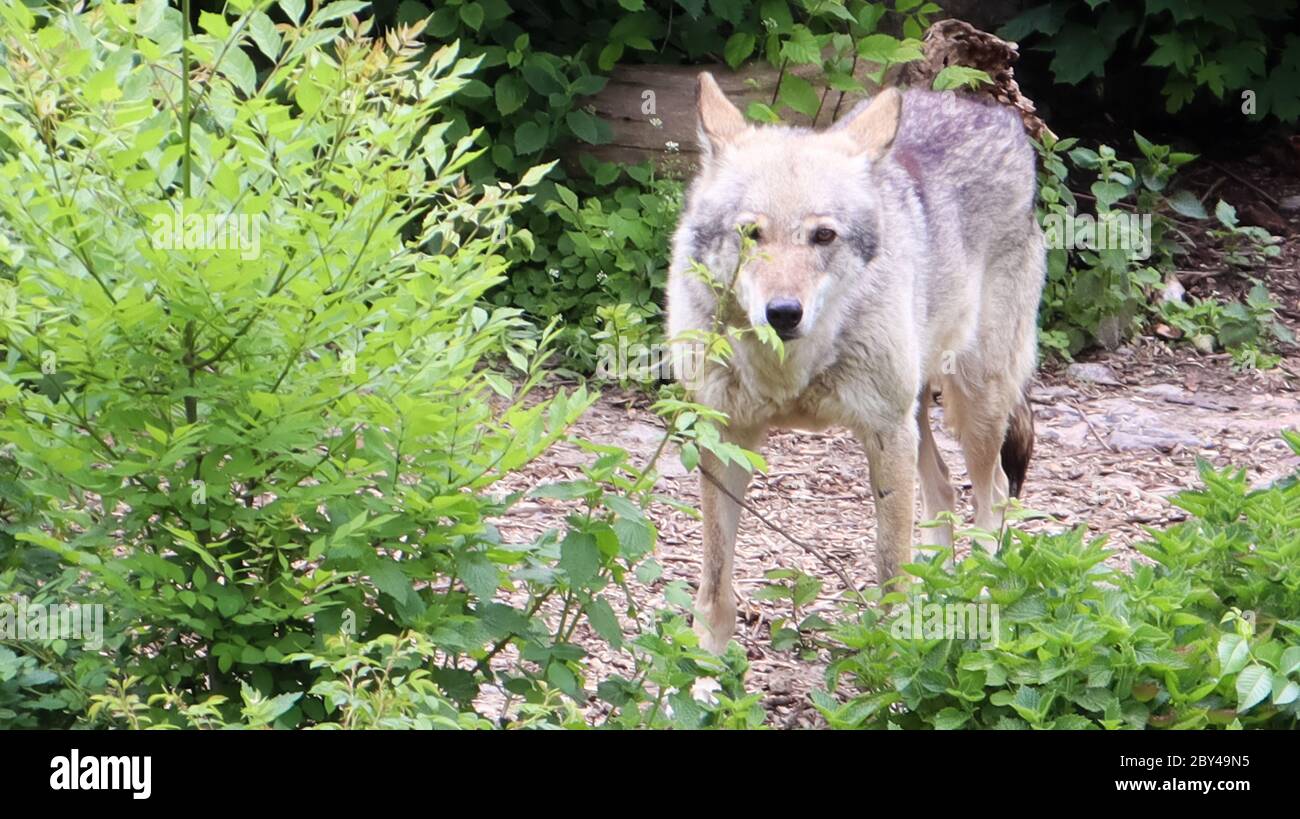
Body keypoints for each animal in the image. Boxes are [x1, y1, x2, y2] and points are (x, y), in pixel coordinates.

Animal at [667, 73, 1045, 653]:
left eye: (823, 235)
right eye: (752, 233)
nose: (783, 312)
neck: (790, 370)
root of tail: (991, 113)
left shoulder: (884, 433)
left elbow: (890, 569)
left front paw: (896, 663)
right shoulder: (725, 434)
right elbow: (714, 577)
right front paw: (702, 667)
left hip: (971, 406)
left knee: (995, 496)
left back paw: (980, 596)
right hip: (919, 415)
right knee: (942, 489)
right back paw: (941, 590)